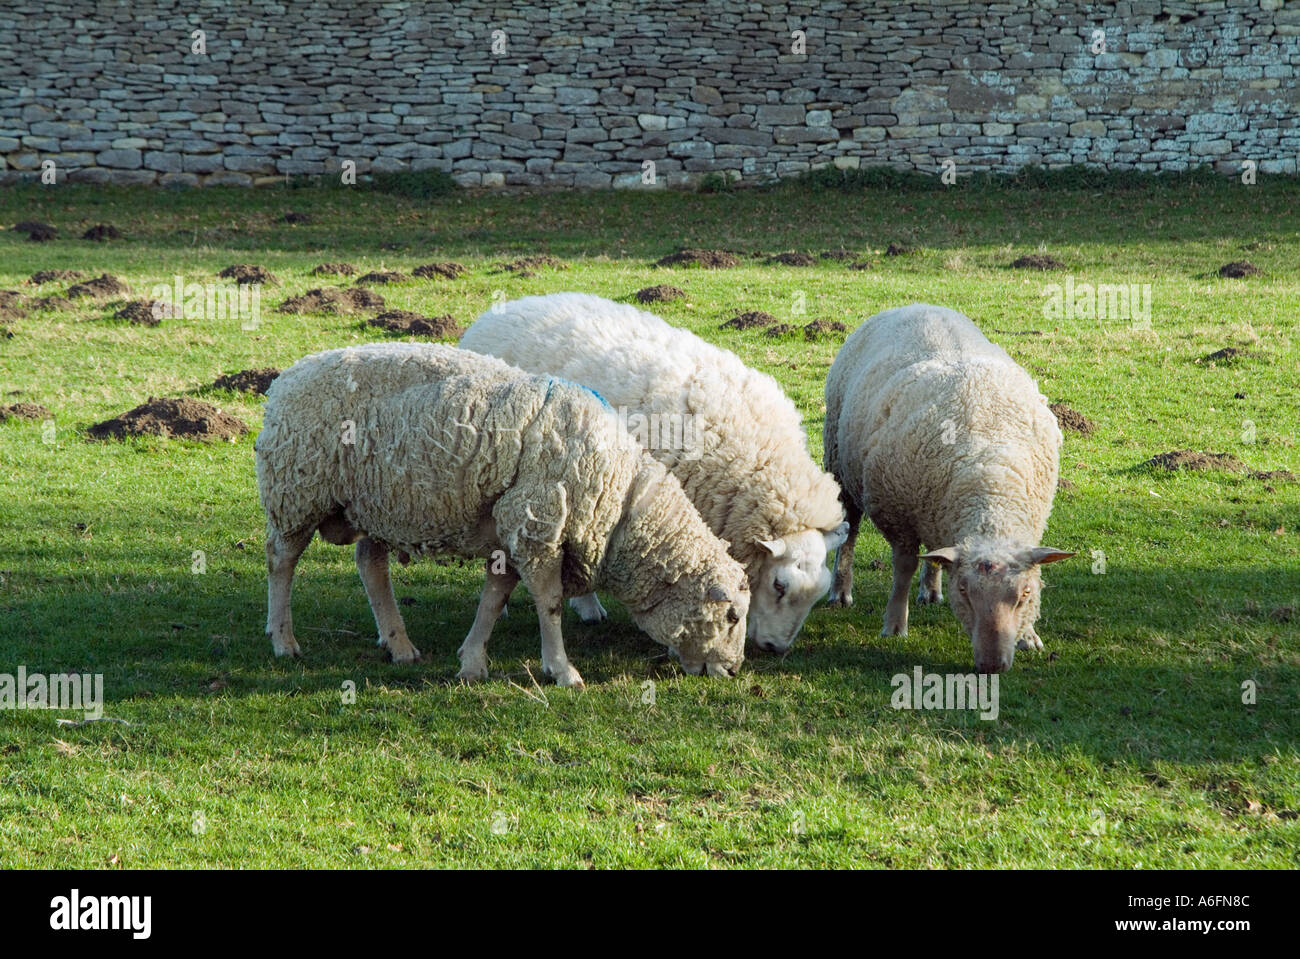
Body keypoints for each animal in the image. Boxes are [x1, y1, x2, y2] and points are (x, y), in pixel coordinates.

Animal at [255, 342, 750, 687]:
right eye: (731, 617)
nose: (733, 671)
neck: (620, 500)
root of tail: (285, 379)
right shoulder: (536, 529)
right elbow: (549, 604)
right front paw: (562, 670)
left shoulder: (512, 535)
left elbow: (493, 601)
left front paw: (472, 661)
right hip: (297, 492)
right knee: (281, 562)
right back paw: (283, 640)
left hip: (378, 501)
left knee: (370, 565)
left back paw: (400, 645)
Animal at [823, 304, 1073, 673]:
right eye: (965, 592)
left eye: (1025, 595)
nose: (992, 665)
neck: (990, 488)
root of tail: (916, 305)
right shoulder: (896, 513)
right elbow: (903, 568)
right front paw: (895, 625)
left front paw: (1028, 636)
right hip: (839, 462)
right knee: (850, 531)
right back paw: (840, 592)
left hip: (930, 503)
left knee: (936, 551)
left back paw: (930, 590)